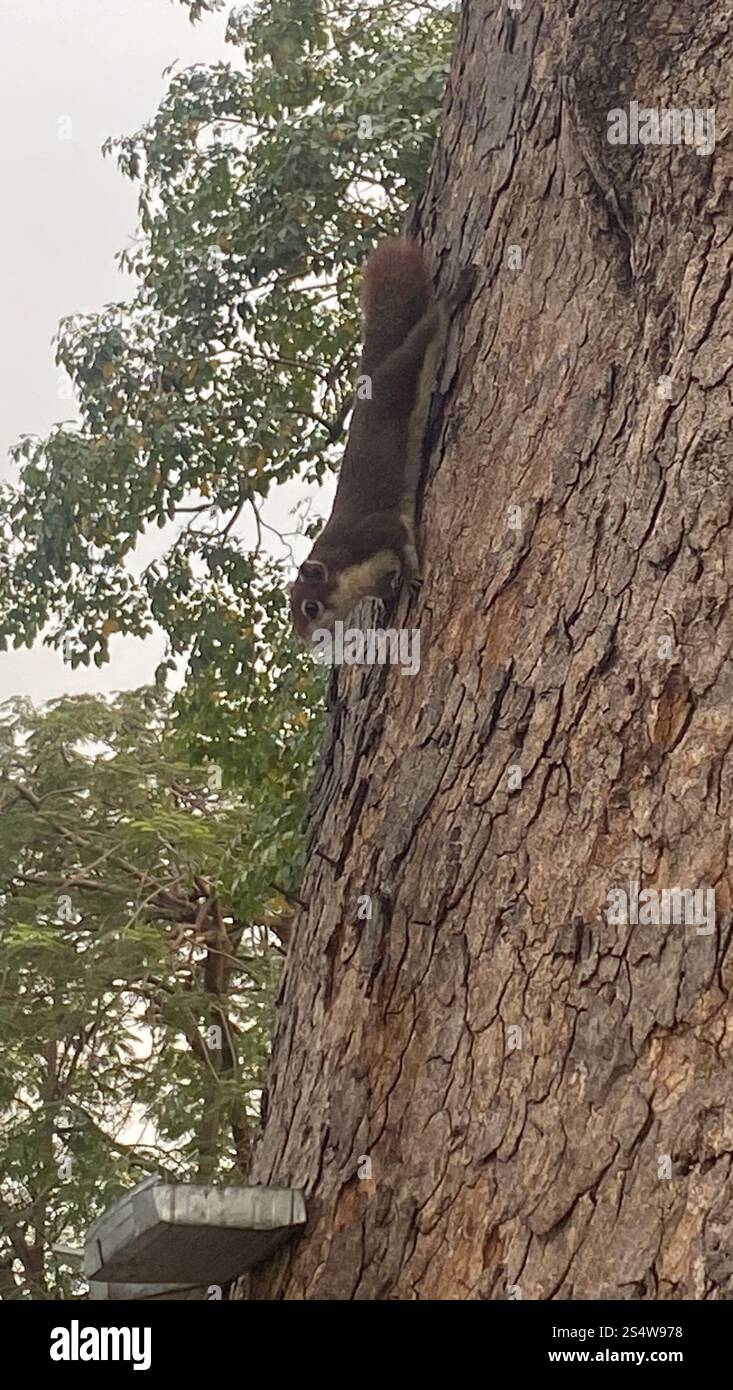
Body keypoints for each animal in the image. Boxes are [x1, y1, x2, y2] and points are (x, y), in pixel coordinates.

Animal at [290, 237, 470, 640]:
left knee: (427, 331)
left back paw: (455, 295)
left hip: (400, 374)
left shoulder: (373, 532)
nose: (306, 640)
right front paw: (391, 596)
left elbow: (401, 539)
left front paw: (413, 575)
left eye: (310, 607)